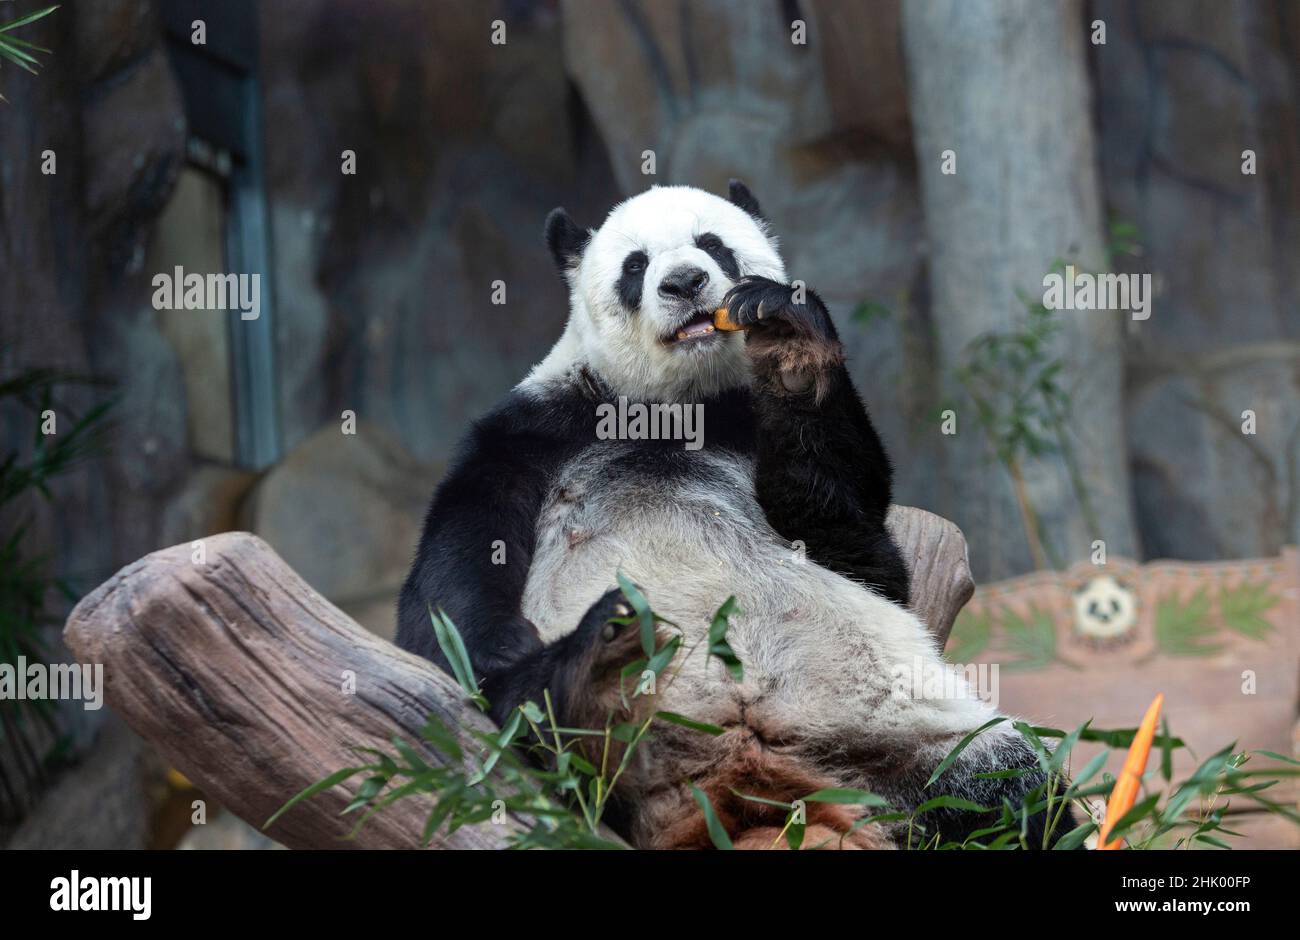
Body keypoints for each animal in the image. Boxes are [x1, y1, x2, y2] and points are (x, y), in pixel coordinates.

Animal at [397, 182, 1067, 849]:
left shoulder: (749, 428)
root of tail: (729, 772)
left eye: (712, 243)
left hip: (890, 742)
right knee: (539, 726)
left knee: (1011, 789)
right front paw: (506, 648)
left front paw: (790, 345)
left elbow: (862, 557)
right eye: (635, 266)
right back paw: (588, 672)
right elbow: (453, 594)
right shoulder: (533, 436)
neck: (675, 409)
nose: (685, 281)